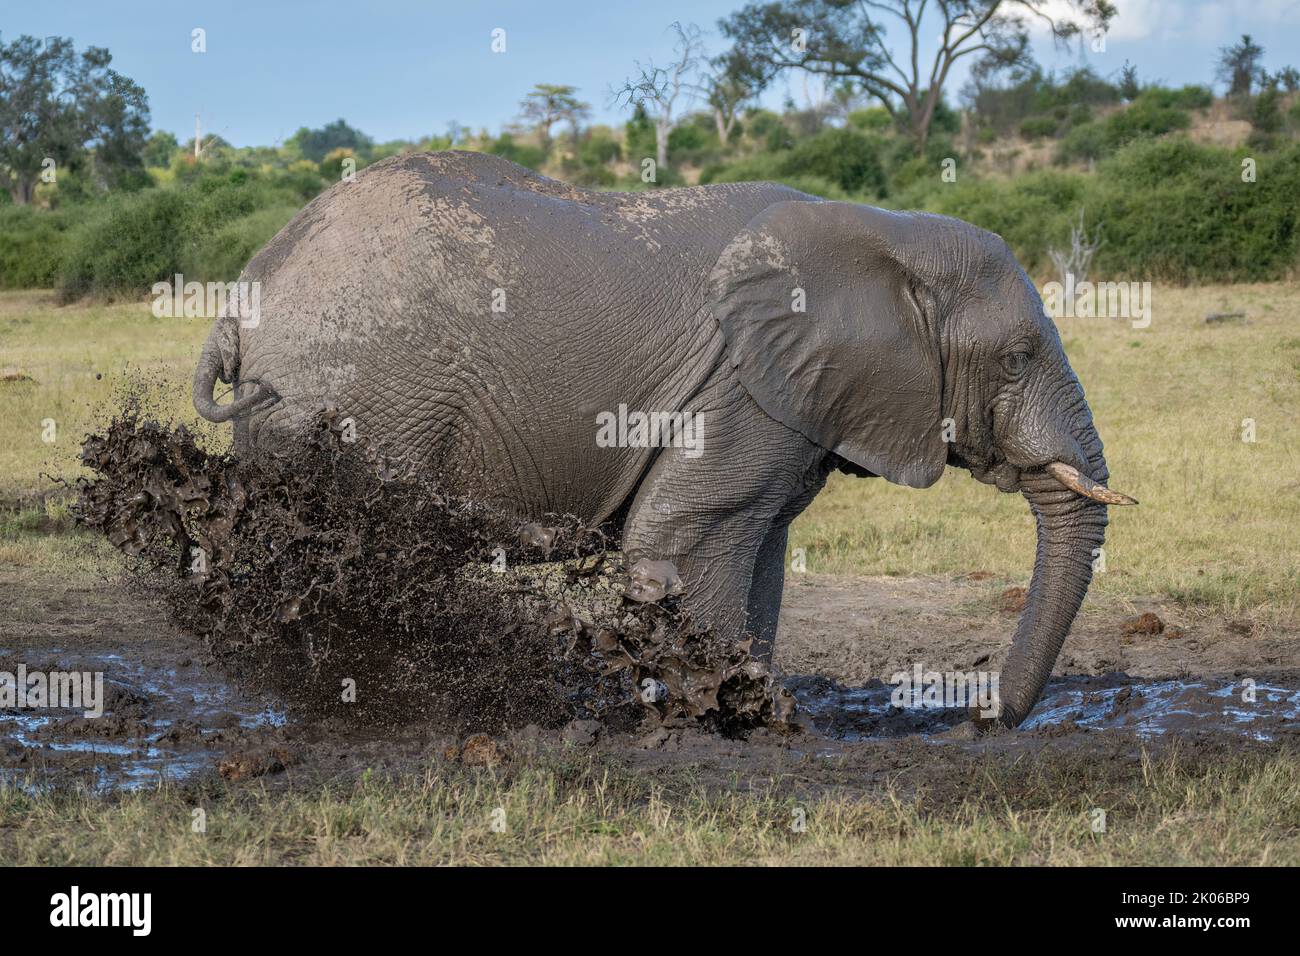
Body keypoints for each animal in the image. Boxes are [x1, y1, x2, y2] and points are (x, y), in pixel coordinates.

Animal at [194, 150, 1136, 727]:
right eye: (1017, 358)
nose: (978, 717)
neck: (887, 232)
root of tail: (244, 295)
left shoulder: (784, 404)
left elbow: (760, 560)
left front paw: (748, 706)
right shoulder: (743, 388)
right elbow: (682, 542)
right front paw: (732, 722)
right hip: (360, 399)